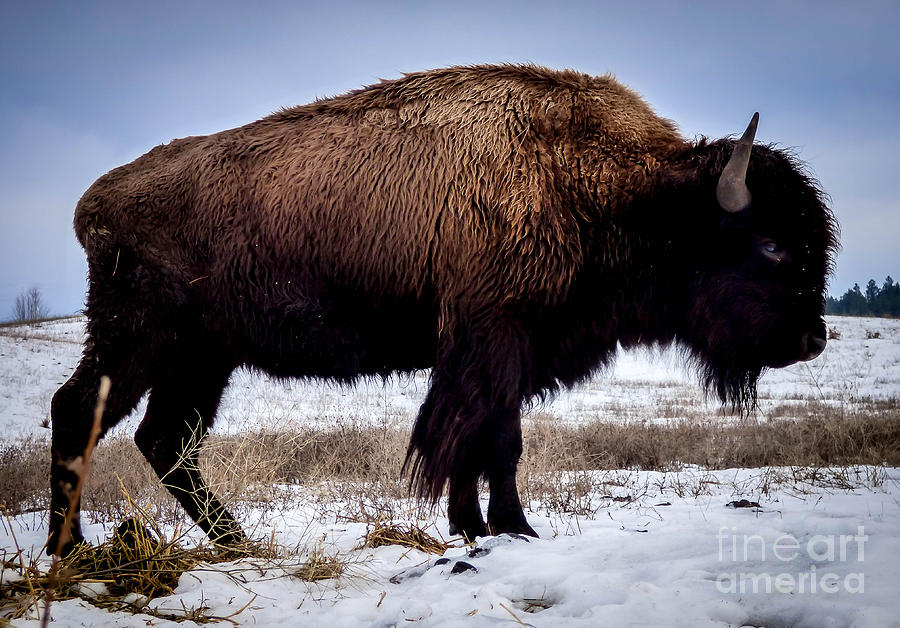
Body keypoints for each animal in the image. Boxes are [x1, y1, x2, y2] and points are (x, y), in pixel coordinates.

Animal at [48, 64, 837, 555]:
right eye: (771, 244)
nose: (813, 338)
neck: (619, 190)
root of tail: (94, 201)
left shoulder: (501, 352)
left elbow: (482, 439)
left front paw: (481, 527)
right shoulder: (493, 337)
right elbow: (491, 440)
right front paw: (508, 528)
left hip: (202, 355)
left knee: (165, 441)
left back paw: (235, 541)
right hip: (138, 338)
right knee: (79, 410)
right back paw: (71, 551)